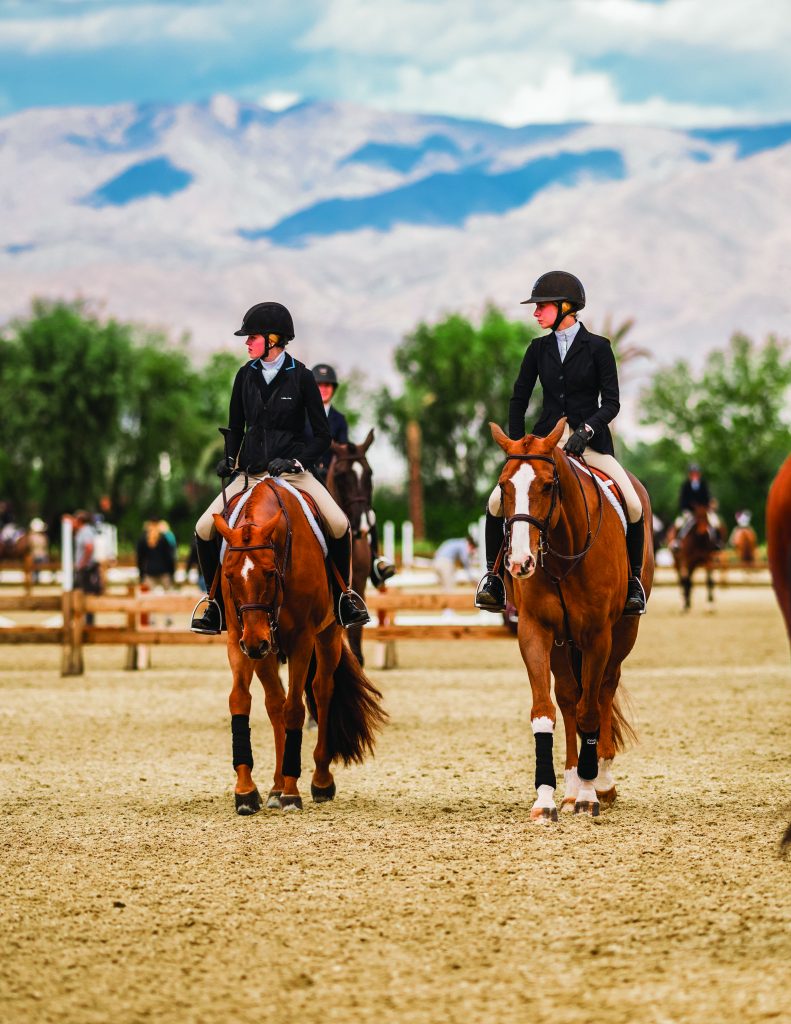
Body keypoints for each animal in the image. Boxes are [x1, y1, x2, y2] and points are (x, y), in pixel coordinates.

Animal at [212, 479, 387, 815]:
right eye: (228, 575)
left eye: (269, 573)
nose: (255, 644)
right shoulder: (242, 637)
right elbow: (242, 701)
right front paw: (247, 790)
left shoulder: (301, 639)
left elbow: (295, 709)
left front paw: (292, 792)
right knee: (274, 703)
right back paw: (276, 786)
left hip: (327, 635)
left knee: (322, 690)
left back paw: (320, 781)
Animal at [491, 417, 653, 821]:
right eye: (503, 486)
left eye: (548, 485)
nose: (520, 563)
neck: (564, 552)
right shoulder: (535, 630)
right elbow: (544, 712)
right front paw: (546, 797)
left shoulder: (598, 636)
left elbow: (591, 711)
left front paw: (589, 795)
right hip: (563, 642)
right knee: (567, 697)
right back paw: (570, 783)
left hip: (622, 634)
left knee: (604, 690)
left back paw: (601, 780)